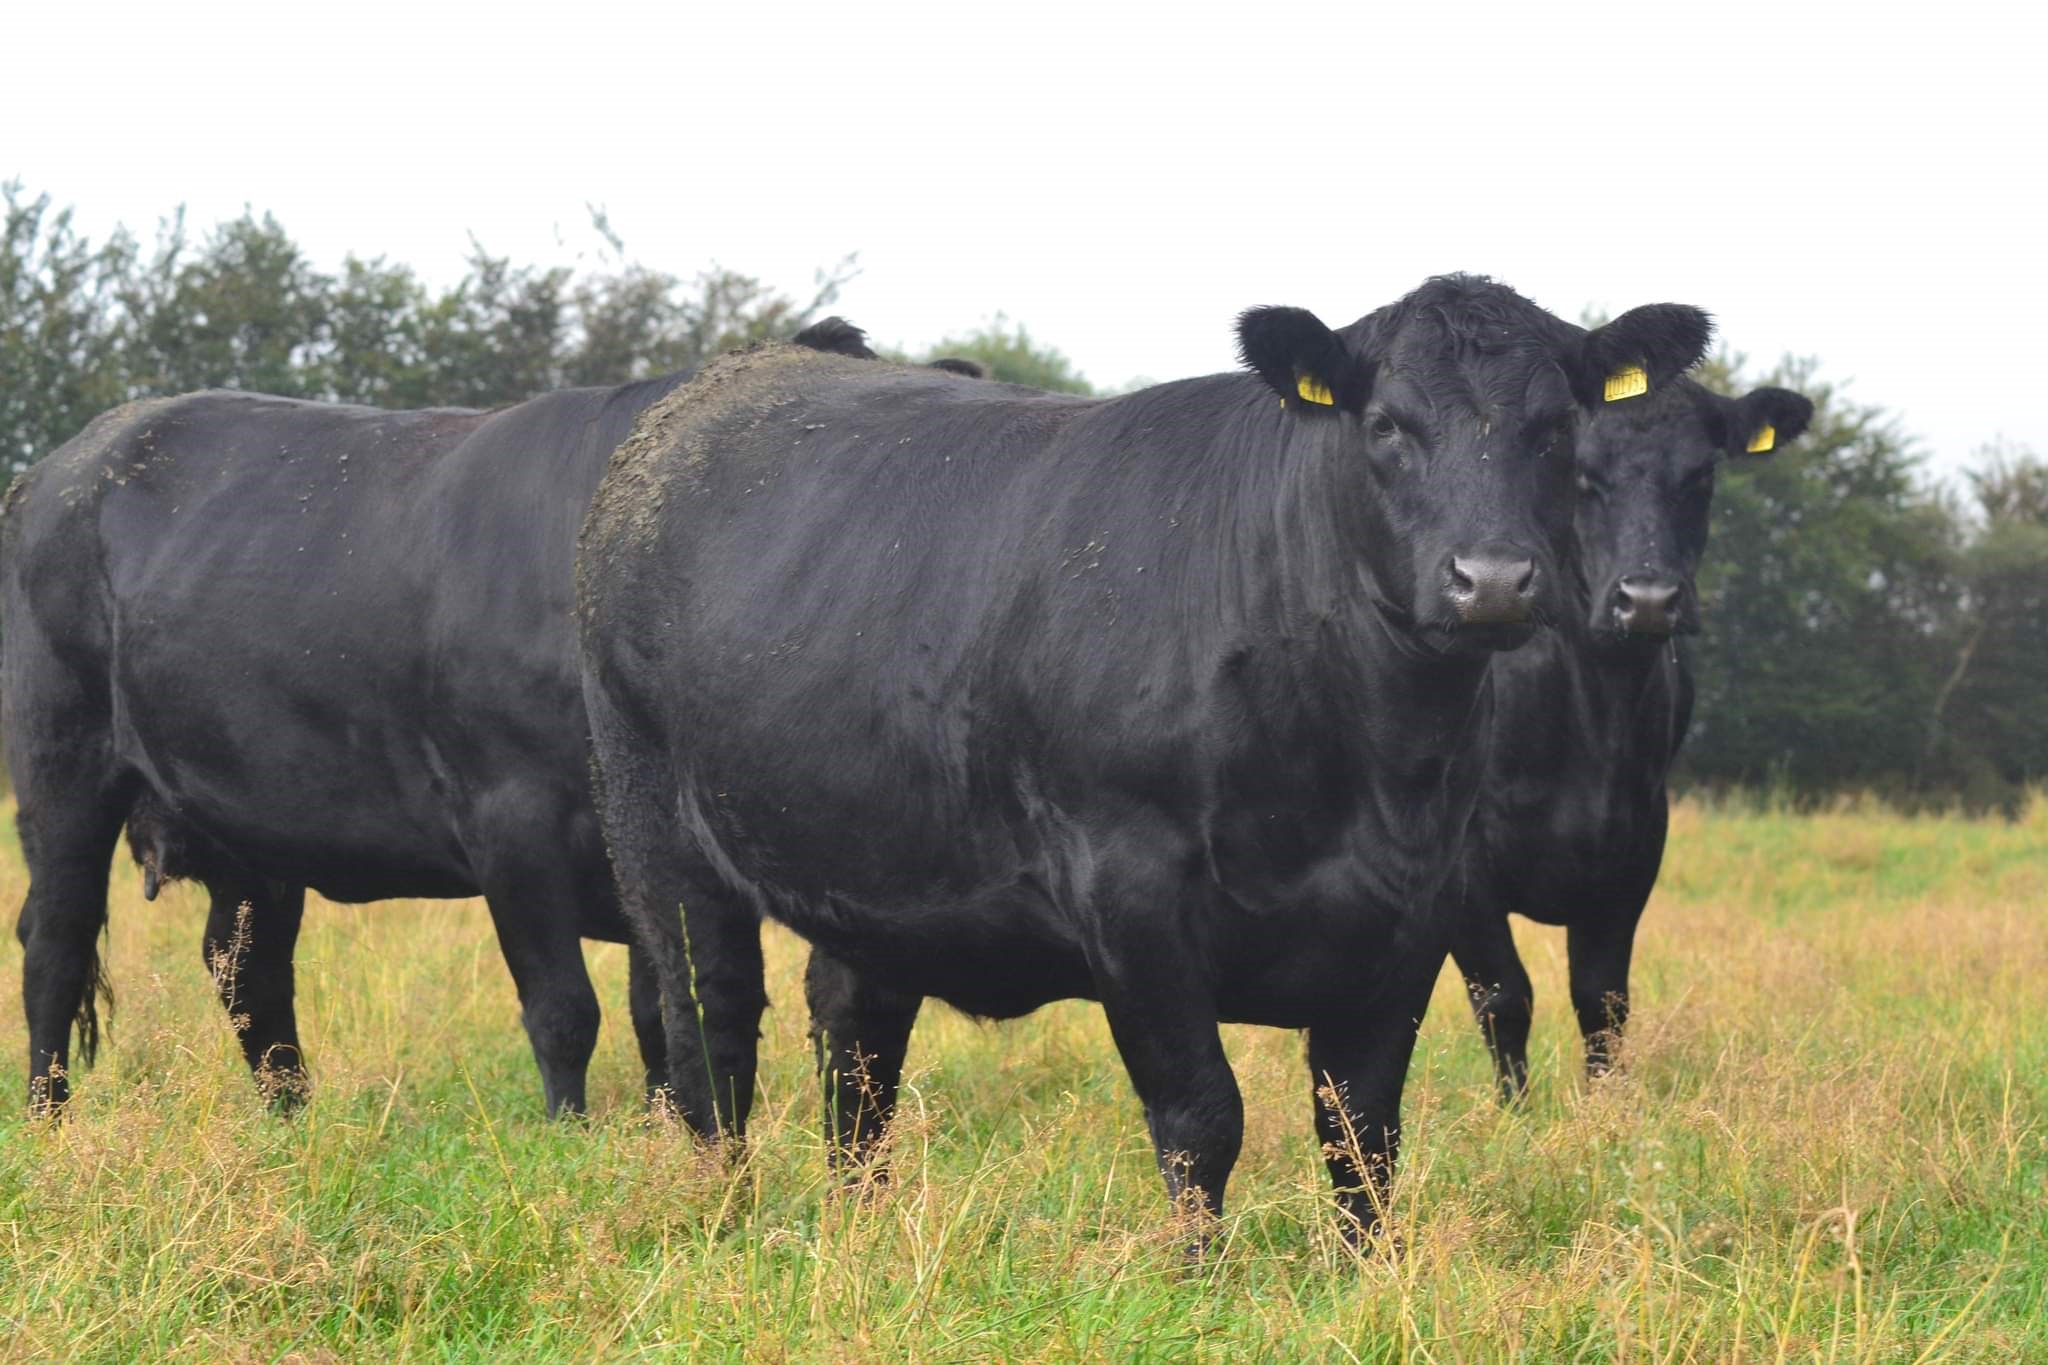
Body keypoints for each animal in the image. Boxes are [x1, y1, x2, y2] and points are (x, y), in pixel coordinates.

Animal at [1, 317, 883, 1117]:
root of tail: (64, 462)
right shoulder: (508, 814)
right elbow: (564, 1008)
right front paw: (570, 1136)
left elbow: (660, 1011)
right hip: (61, 760)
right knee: (55, 940)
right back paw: (51, 1117)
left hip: (248, 816)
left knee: (246, 966)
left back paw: (292, 1119)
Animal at [573, 275, 1714, 1236]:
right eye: (1386, 423)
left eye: (1554, 429)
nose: (1492, 580)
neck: (1359, 764)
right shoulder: (1131, 892)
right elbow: (1204, 1116)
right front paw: (1200, 1283)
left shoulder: (1419, 903)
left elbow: (1363, 1130)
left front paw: (1365, 1277)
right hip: (654, 818)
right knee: (709, 1022)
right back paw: (723, 1216)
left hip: (865, 857)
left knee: (856, 1035)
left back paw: (860, 1221)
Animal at [1448, 378, 1814, 1099]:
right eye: (1584, 475)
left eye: (1700, 475)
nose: (1647, 599)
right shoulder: (1462, 862)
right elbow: (1505, 996)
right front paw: (1515, 1115)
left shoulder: (1636, 847)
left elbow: (1602, 999)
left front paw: (1604, 1108)